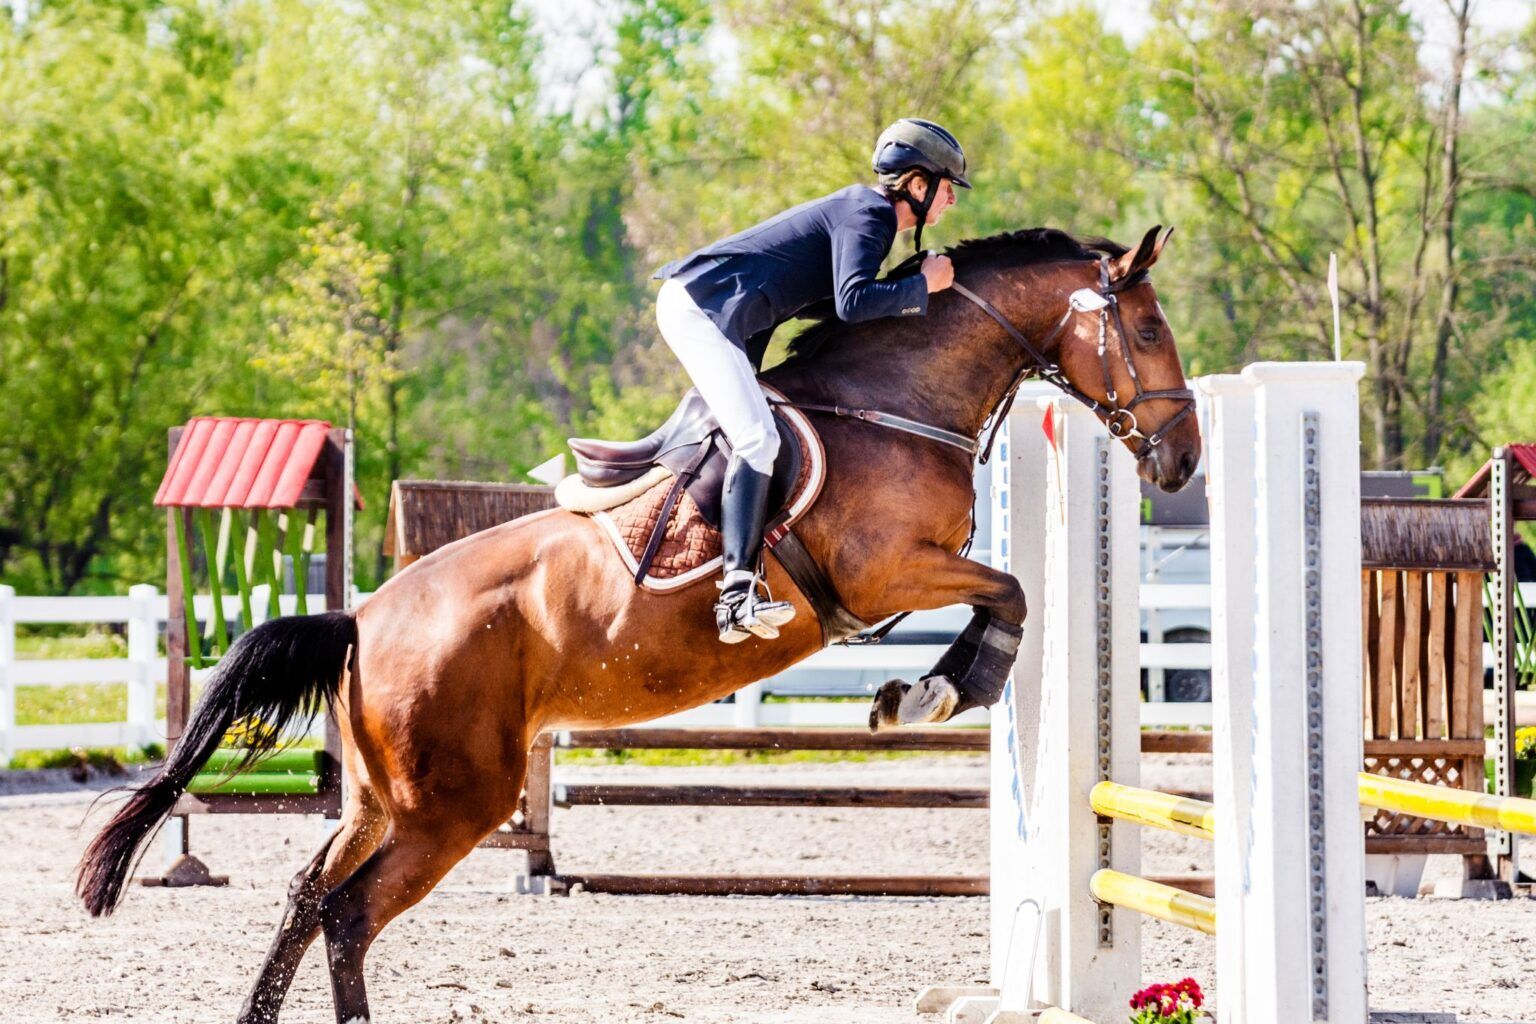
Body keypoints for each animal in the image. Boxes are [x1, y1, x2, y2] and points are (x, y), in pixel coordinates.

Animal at [77, 224, 1201, 1024]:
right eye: (1148, 332)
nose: (1183, 460)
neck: (898, 400)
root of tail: (360, 618)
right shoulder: (890, 571)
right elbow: (1008, 593)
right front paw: (936, 689)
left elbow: (1004, 591)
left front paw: (924, 688)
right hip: (453, 804)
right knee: (349, 915)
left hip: (382, 800)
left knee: (310, 896)